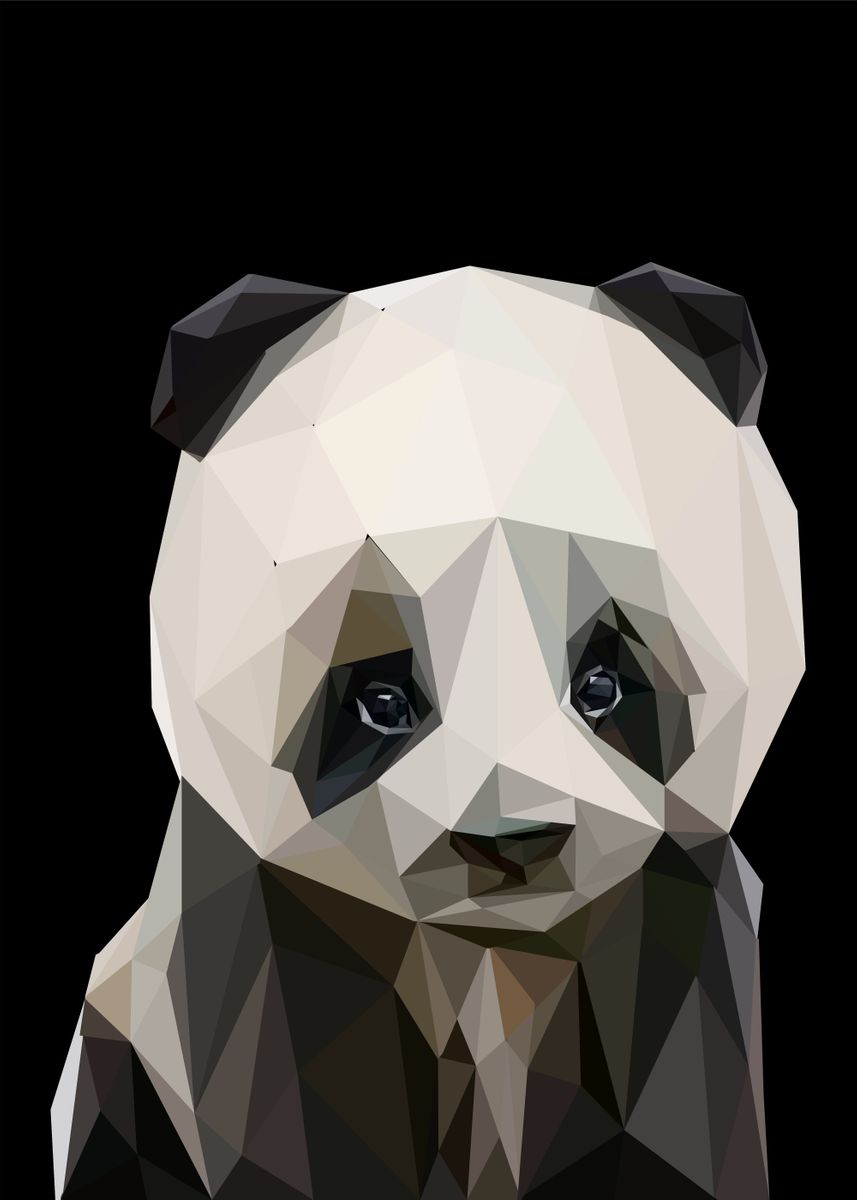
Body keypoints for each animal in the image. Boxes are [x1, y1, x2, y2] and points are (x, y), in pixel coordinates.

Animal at [51, 264, 804, 1199]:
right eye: (382, 699)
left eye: (602, 684)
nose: (510, 841)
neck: (485, 961)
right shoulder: (258, 961)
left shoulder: (672, 935)